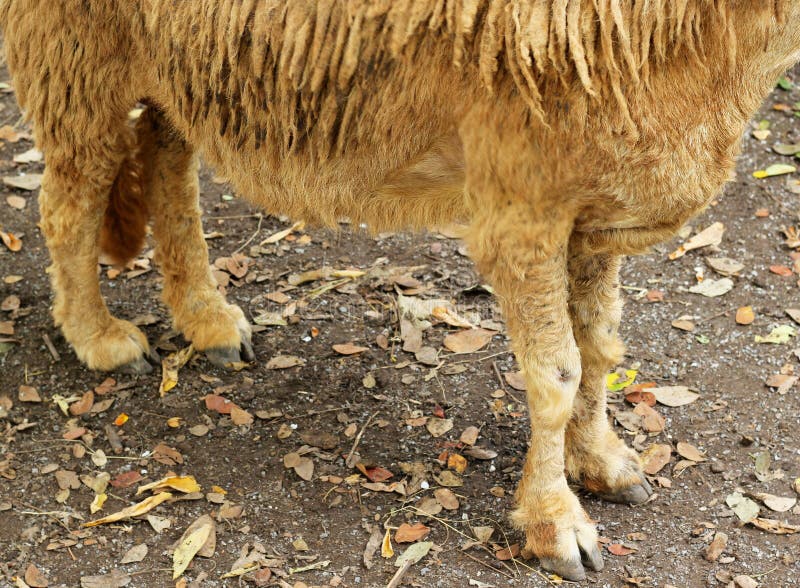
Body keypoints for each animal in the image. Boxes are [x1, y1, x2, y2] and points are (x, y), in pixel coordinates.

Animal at [1, 1, 798, 581]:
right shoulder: (522, 201)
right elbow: (557, 374)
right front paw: (554, 524)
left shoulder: (593, 206)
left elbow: (600, 349)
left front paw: (601, 462)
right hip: (74, 51)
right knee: (69, 199)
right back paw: (99, 338)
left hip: (184, 62)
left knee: (167, 157)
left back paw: (207, 319)